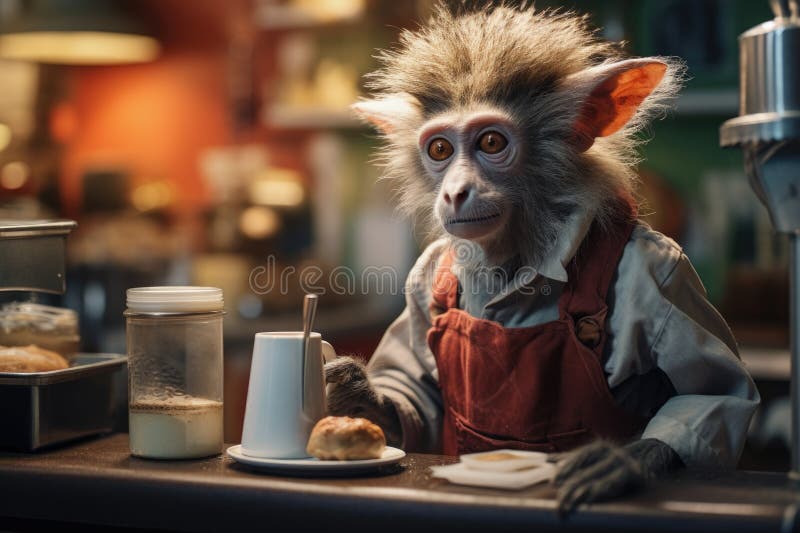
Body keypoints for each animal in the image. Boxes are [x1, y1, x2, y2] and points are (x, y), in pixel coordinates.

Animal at [325, 2, 760, 515]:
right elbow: (420, 398)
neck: (517, 255)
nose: (454, 192)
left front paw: (627, 461)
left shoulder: (660, 271)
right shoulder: (423, 274)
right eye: (439, 149)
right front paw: (354, 392)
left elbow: (711, 392)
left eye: (492, 143)